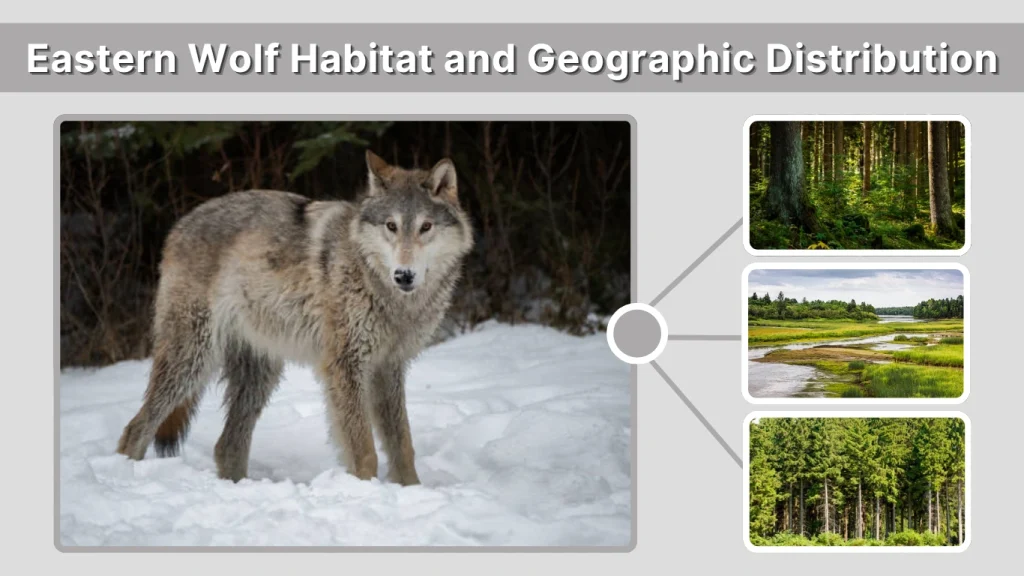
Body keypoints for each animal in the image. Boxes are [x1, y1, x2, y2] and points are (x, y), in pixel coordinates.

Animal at [115, 151, 474, 486]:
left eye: (425, 227)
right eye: (391, 226)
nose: (404, 275)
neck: (392, 298)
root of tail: (180, 224)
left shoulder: (389, 368)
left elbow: (402, 446)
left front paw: (411, 491)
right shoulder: (345, 366)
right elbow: (365, 452)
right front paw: (365, 490)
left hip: (260, 375)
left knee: (227, 446)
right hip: (193, 361)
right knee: (135, 429)